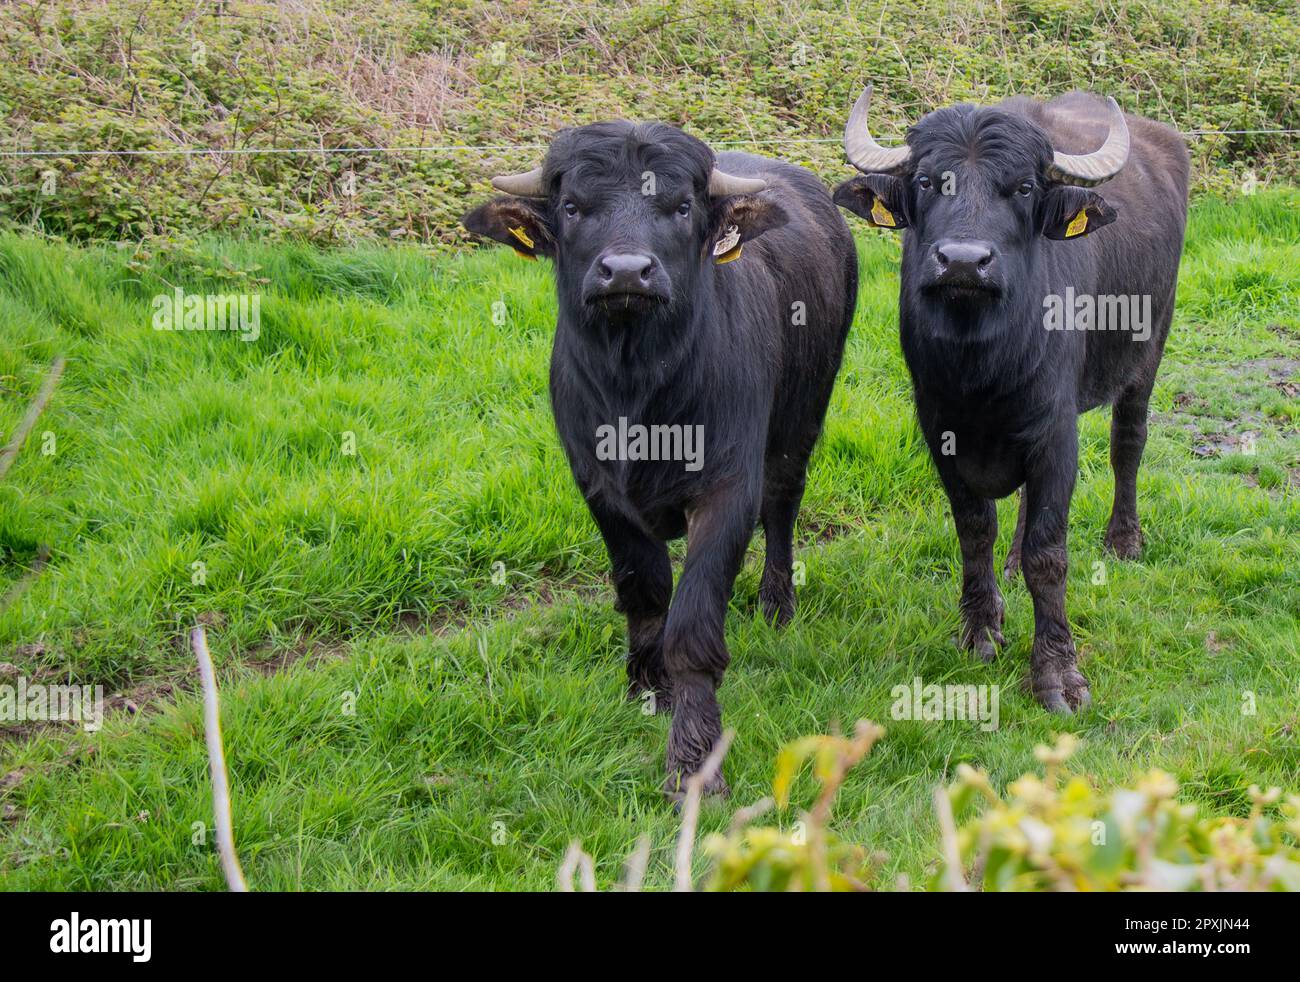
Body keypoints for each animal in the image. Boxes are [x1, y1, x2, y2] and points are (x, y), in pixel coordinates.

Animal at [463, 122, 858, 795]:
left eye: (681, 207)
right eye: (573, 207)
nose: (626, 271)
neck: (638, 388)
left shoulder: (727, 487)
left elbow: (694, 623)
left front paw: (694, 758)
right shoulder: (598, 487)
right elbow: (646, 590)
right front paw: (648, 685)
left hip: (803, 412)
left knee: (782, 504)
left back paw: (776, 604)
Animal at [833, 86, 1189, 712]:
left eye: (1023, 187)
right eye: (926, 181)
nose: (963, 261)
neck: (982, 363)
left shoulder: (1055, 434)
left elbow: (1051, 554)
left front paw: (1057, 674)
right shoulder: (940, 430)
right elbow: (975, 530)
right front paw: (980, 628)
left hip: (1150, 347)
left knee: (1129, 442)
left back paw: (1124, 539)